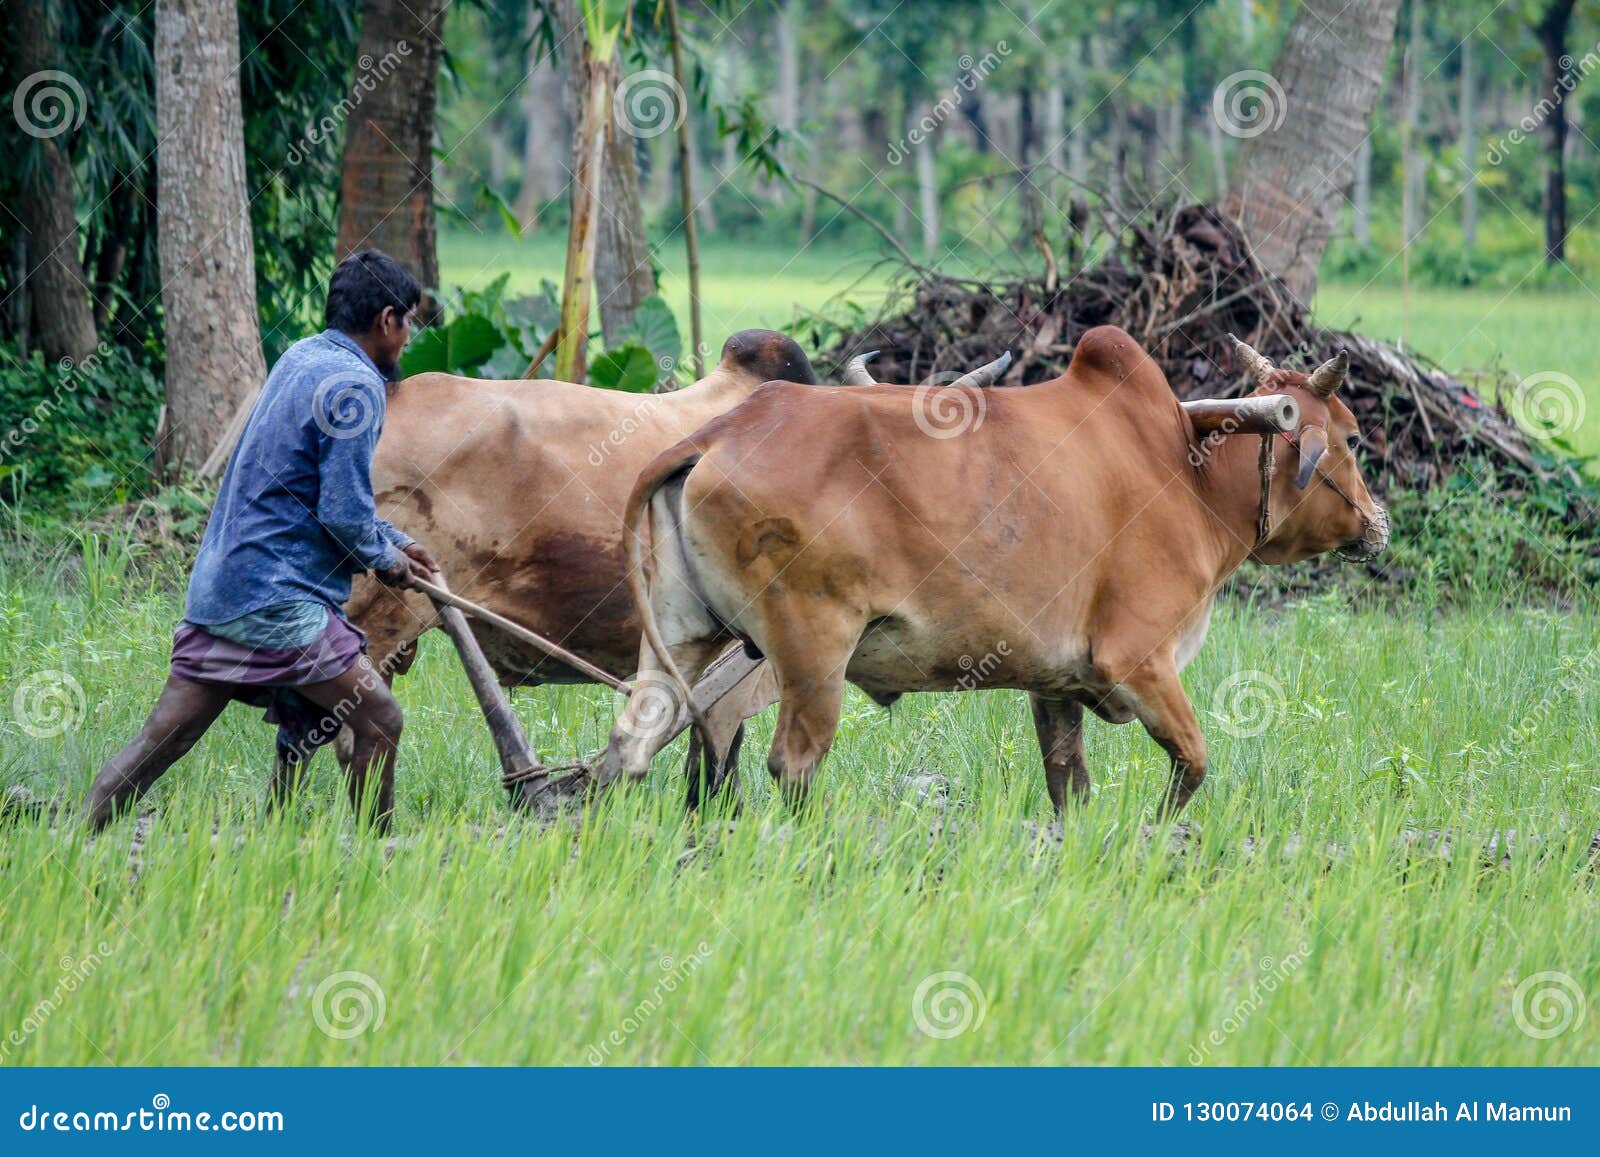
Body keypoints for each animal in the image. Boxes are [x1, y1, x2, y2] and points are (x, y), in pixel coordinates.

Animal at [600, 326, 1389, 816]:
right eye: (1352, 438)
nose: (1377, 523)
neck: (1185, 469)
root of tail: (719, 432)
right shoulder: (1138, 660)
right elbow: (1191, 766)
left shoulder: (1056, 684)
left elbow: (1071, 787)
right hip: (812, 654)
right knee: (791, 763)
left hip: (681, 638)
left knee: (634, 746)